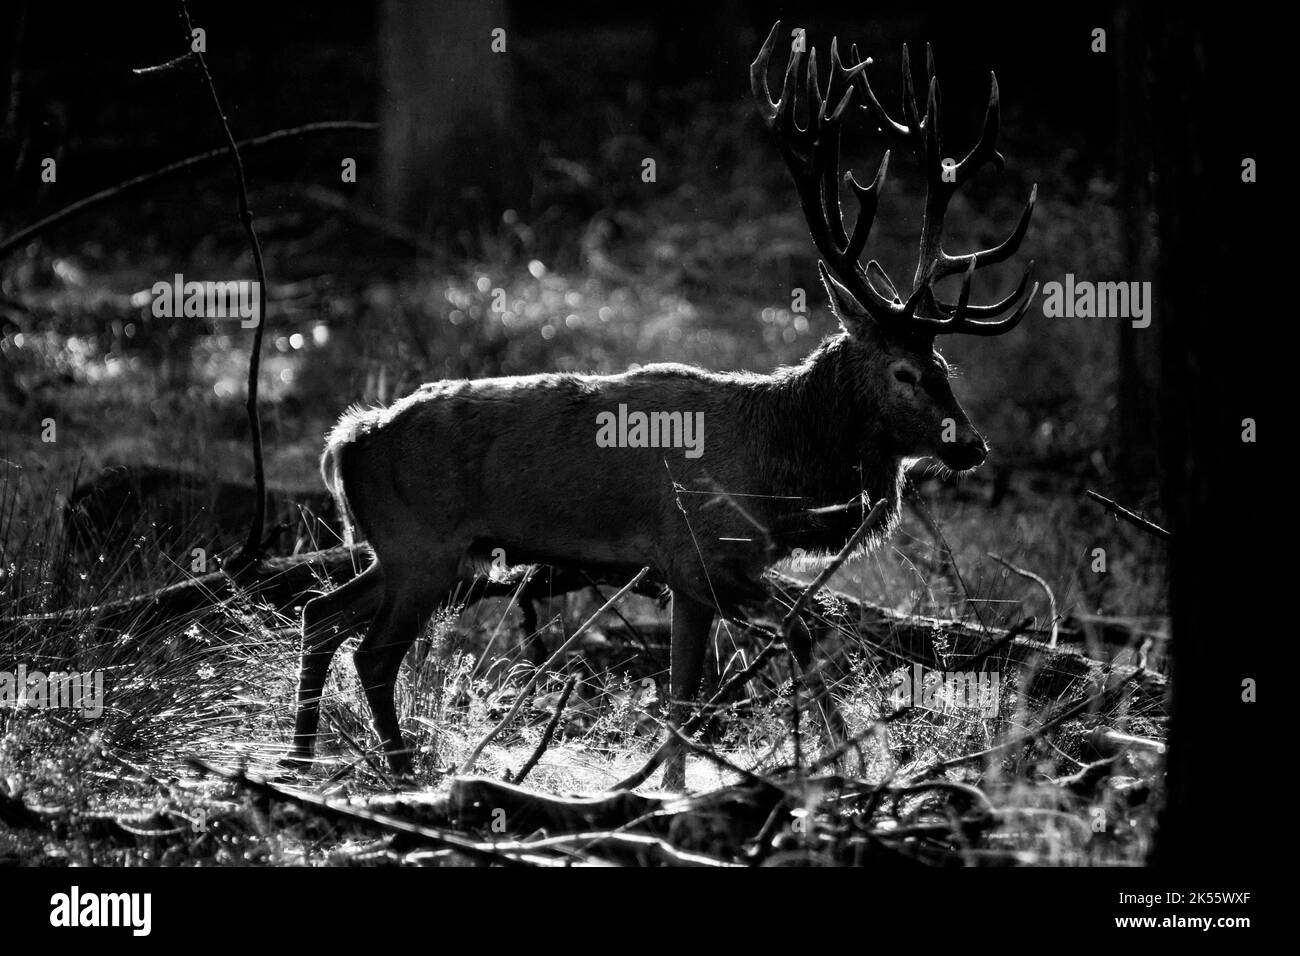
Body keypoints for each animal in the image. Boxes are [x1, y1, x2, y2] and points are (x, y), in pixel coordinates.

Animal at [287, 21, 1037, 789]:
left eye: (945, 365)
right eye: (905, 372)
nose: (971, 445)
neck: (778, 473)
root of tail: (347, 440)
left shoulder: (693, 574)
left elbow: (706, 679)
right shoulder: (698, 553)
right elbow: (767, 644)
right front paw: (835, 759)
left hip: (409, 551)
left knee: (320, 613)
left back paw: (300, 759)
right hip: (424, 546)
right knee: (371, 651)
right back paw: (399, 770)